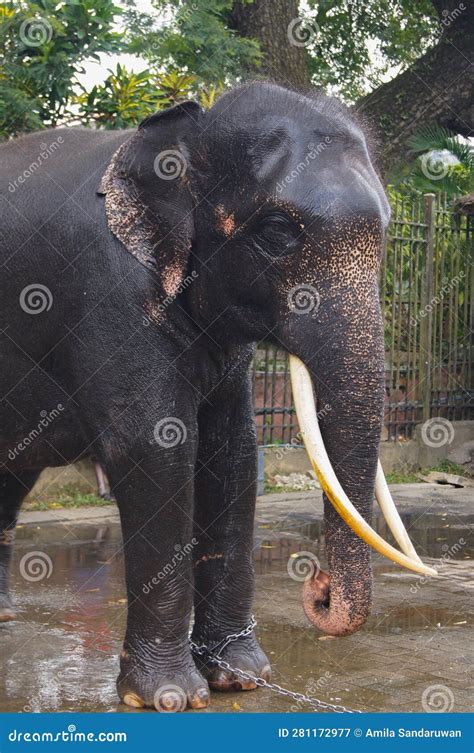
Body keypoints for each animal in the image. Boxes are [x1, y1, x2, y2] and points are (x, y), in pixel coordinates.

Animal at [0, 82, 434, 711]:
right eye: (277, 232)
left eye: (385, 232)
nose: (318, 590)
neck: (183, 134)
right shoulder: (107, 290)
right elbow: (156, 449)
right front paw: (168, 697)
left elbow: (231, 454)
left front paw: (242, 678)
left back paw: (6, 619)